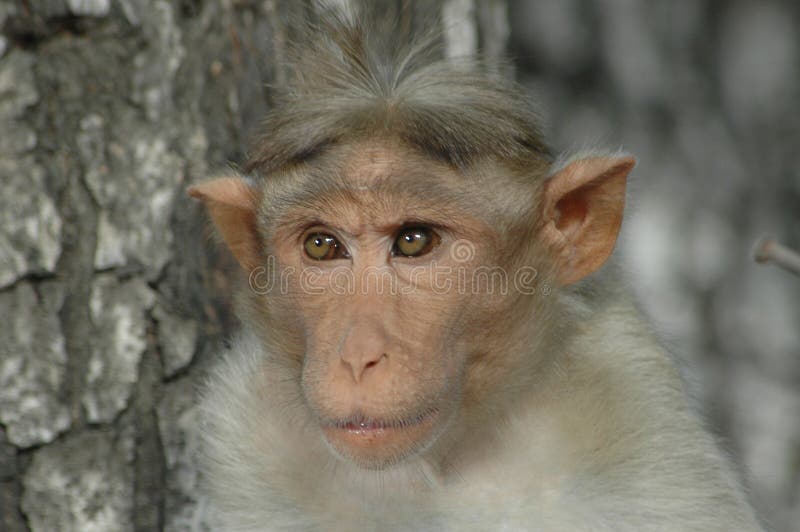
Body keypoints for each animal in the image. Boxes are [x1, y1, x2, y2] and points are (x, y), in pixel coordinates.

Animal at [189, 7, 762, 532]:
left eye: (414, 241)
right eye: (322, 246)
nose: (357, 357)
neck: (443, 466)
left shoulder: (640, 425)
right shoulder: (253, 436)